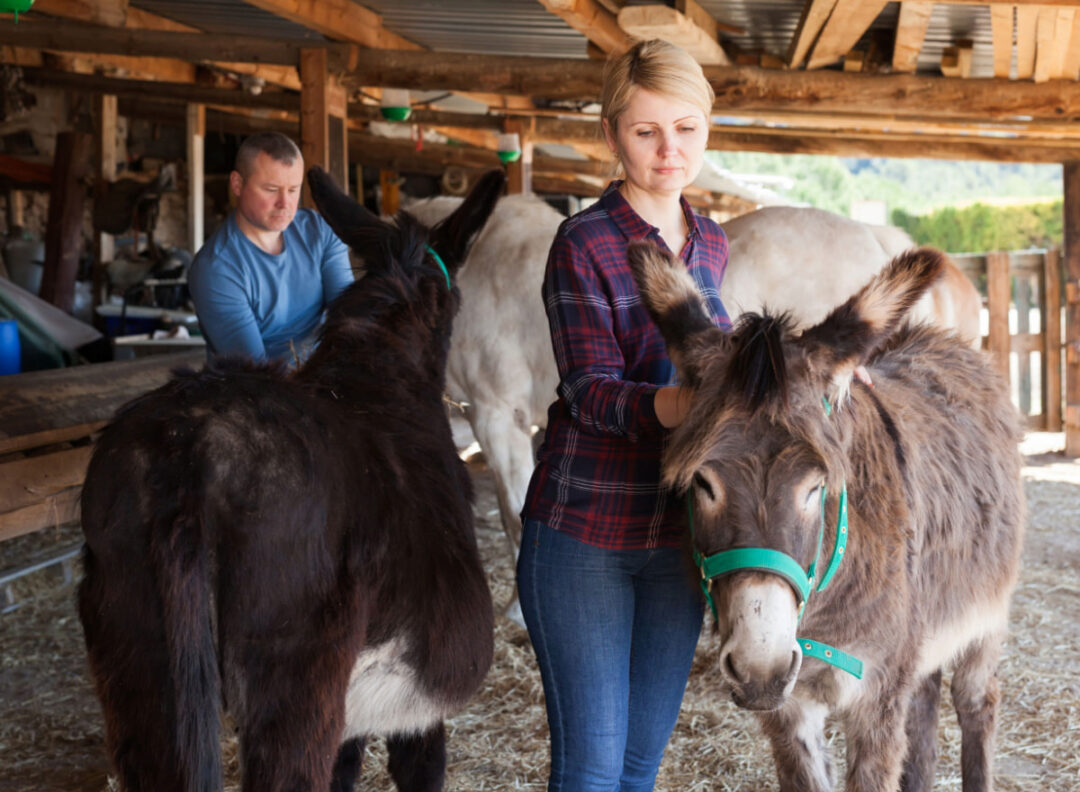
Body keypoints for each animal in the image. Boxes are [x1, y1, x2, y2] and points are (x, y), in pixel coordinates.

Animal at [77, 167, 505, 792]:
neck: (380, 366)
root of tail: (187, 450)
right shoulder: (414, 699)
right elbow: (418, 766)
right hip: (294, 669)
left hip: (138, 652)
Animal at [625, 240, 1023, 792]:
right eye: (703, 483)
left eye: (816, 486)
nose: (760, 668)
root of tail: (946, 341)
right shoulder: (790, 708)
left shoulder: (877, 698)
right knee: (925, 701)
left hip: (984, 618)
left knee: (976, 702)